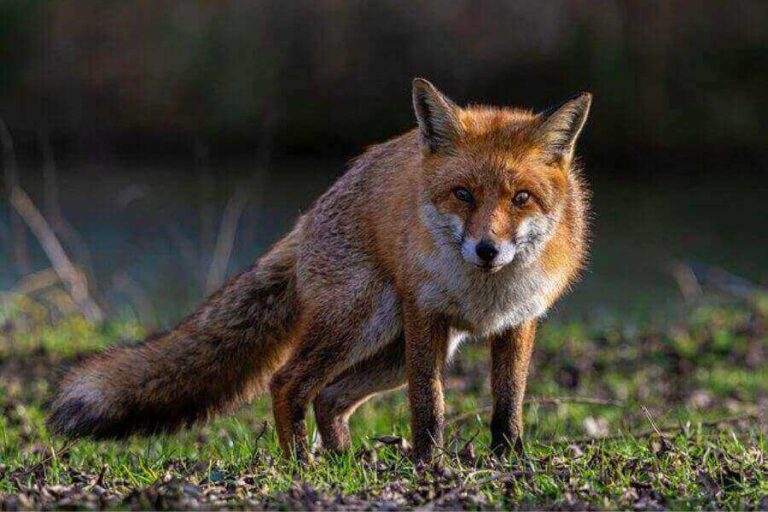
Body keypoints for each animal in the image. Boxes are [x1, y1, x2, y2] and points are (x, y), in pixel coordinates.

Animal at [49, 78, 591, 462]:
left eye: (521, 198)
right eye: (463, 194)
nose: (487, 250)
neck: (485, 294)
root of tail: (308, 216)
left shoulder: (519, 321)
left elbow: (508, 402)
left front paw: (509, 459)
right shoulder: (425, 315)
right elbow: (429, 404)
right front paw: (428, 464)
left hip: (393, 350)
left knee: (329, 395)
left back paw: (344, 460)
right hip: (365, 324)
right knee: (288, 383)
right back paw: (301, 464)